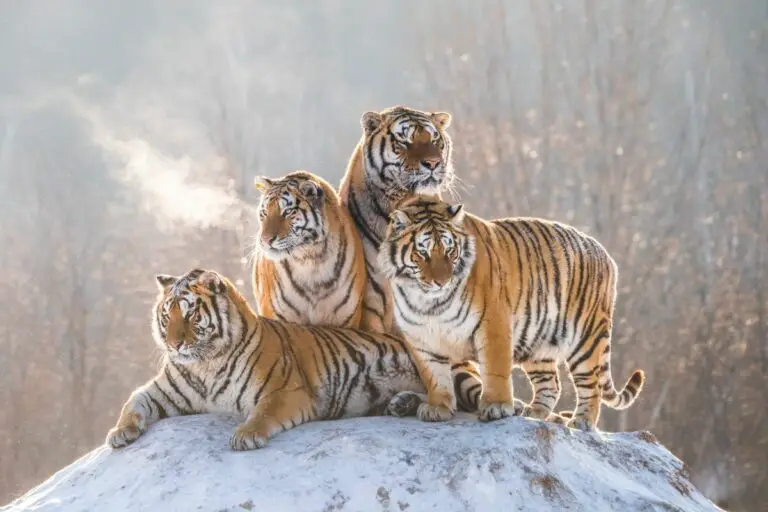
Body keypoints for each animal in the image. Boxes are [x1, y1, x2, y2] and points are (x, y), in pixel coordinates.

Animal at [105, 268, 430, 451]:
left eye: (191, 314)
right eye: (166, 315)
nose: (174, 345)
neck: (205, 365)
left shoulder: (285, 391)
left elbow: (263, 413)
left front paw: (246, 436)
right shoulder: (160, 391)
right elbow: (131, 403)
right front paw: (119, 433)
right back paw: (401, 403)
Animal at [377, 196, 646, 431]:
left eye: (450, 251)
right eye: (422, 252)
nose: (442, 282)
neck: (428, 304)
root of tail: (604, 252)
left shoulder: (492, 322)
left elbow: (495, 370)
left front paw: (496, 407)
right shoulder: (420, 337)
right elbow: (434, 374)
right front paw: (438, 407)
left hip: (586, 338)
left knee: (591, 385)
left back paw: (581, 421)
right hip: (539, 344)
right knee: (551, 385)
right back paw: (533, 413)